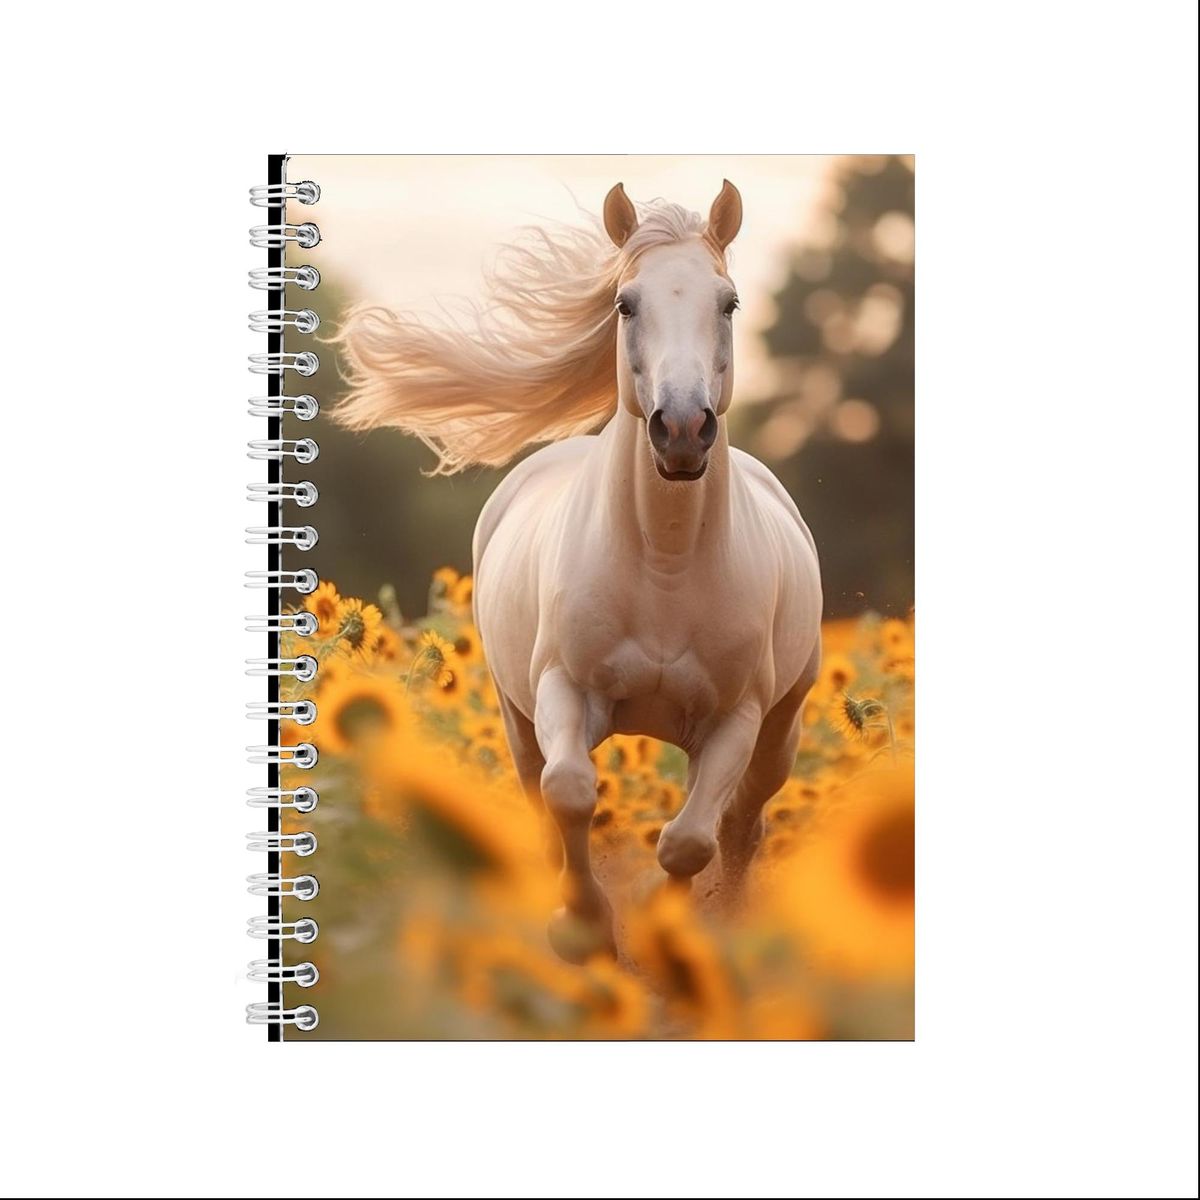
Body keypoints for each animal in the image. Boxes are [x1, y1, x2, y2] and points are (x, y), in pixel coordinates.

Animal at [335, 181, 822, 961]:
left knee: (743, 826)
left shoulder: (737, 718)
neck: (665, 563)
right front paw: (585, 930)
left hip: (781, 731)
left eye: (730, 303)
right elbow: (570, 791)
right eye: (626, 303)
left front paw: (664, 933)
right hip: (515, 717)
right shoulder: (562, 688)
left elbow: (689, 841)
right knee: (542, 795)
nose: (681, 429)